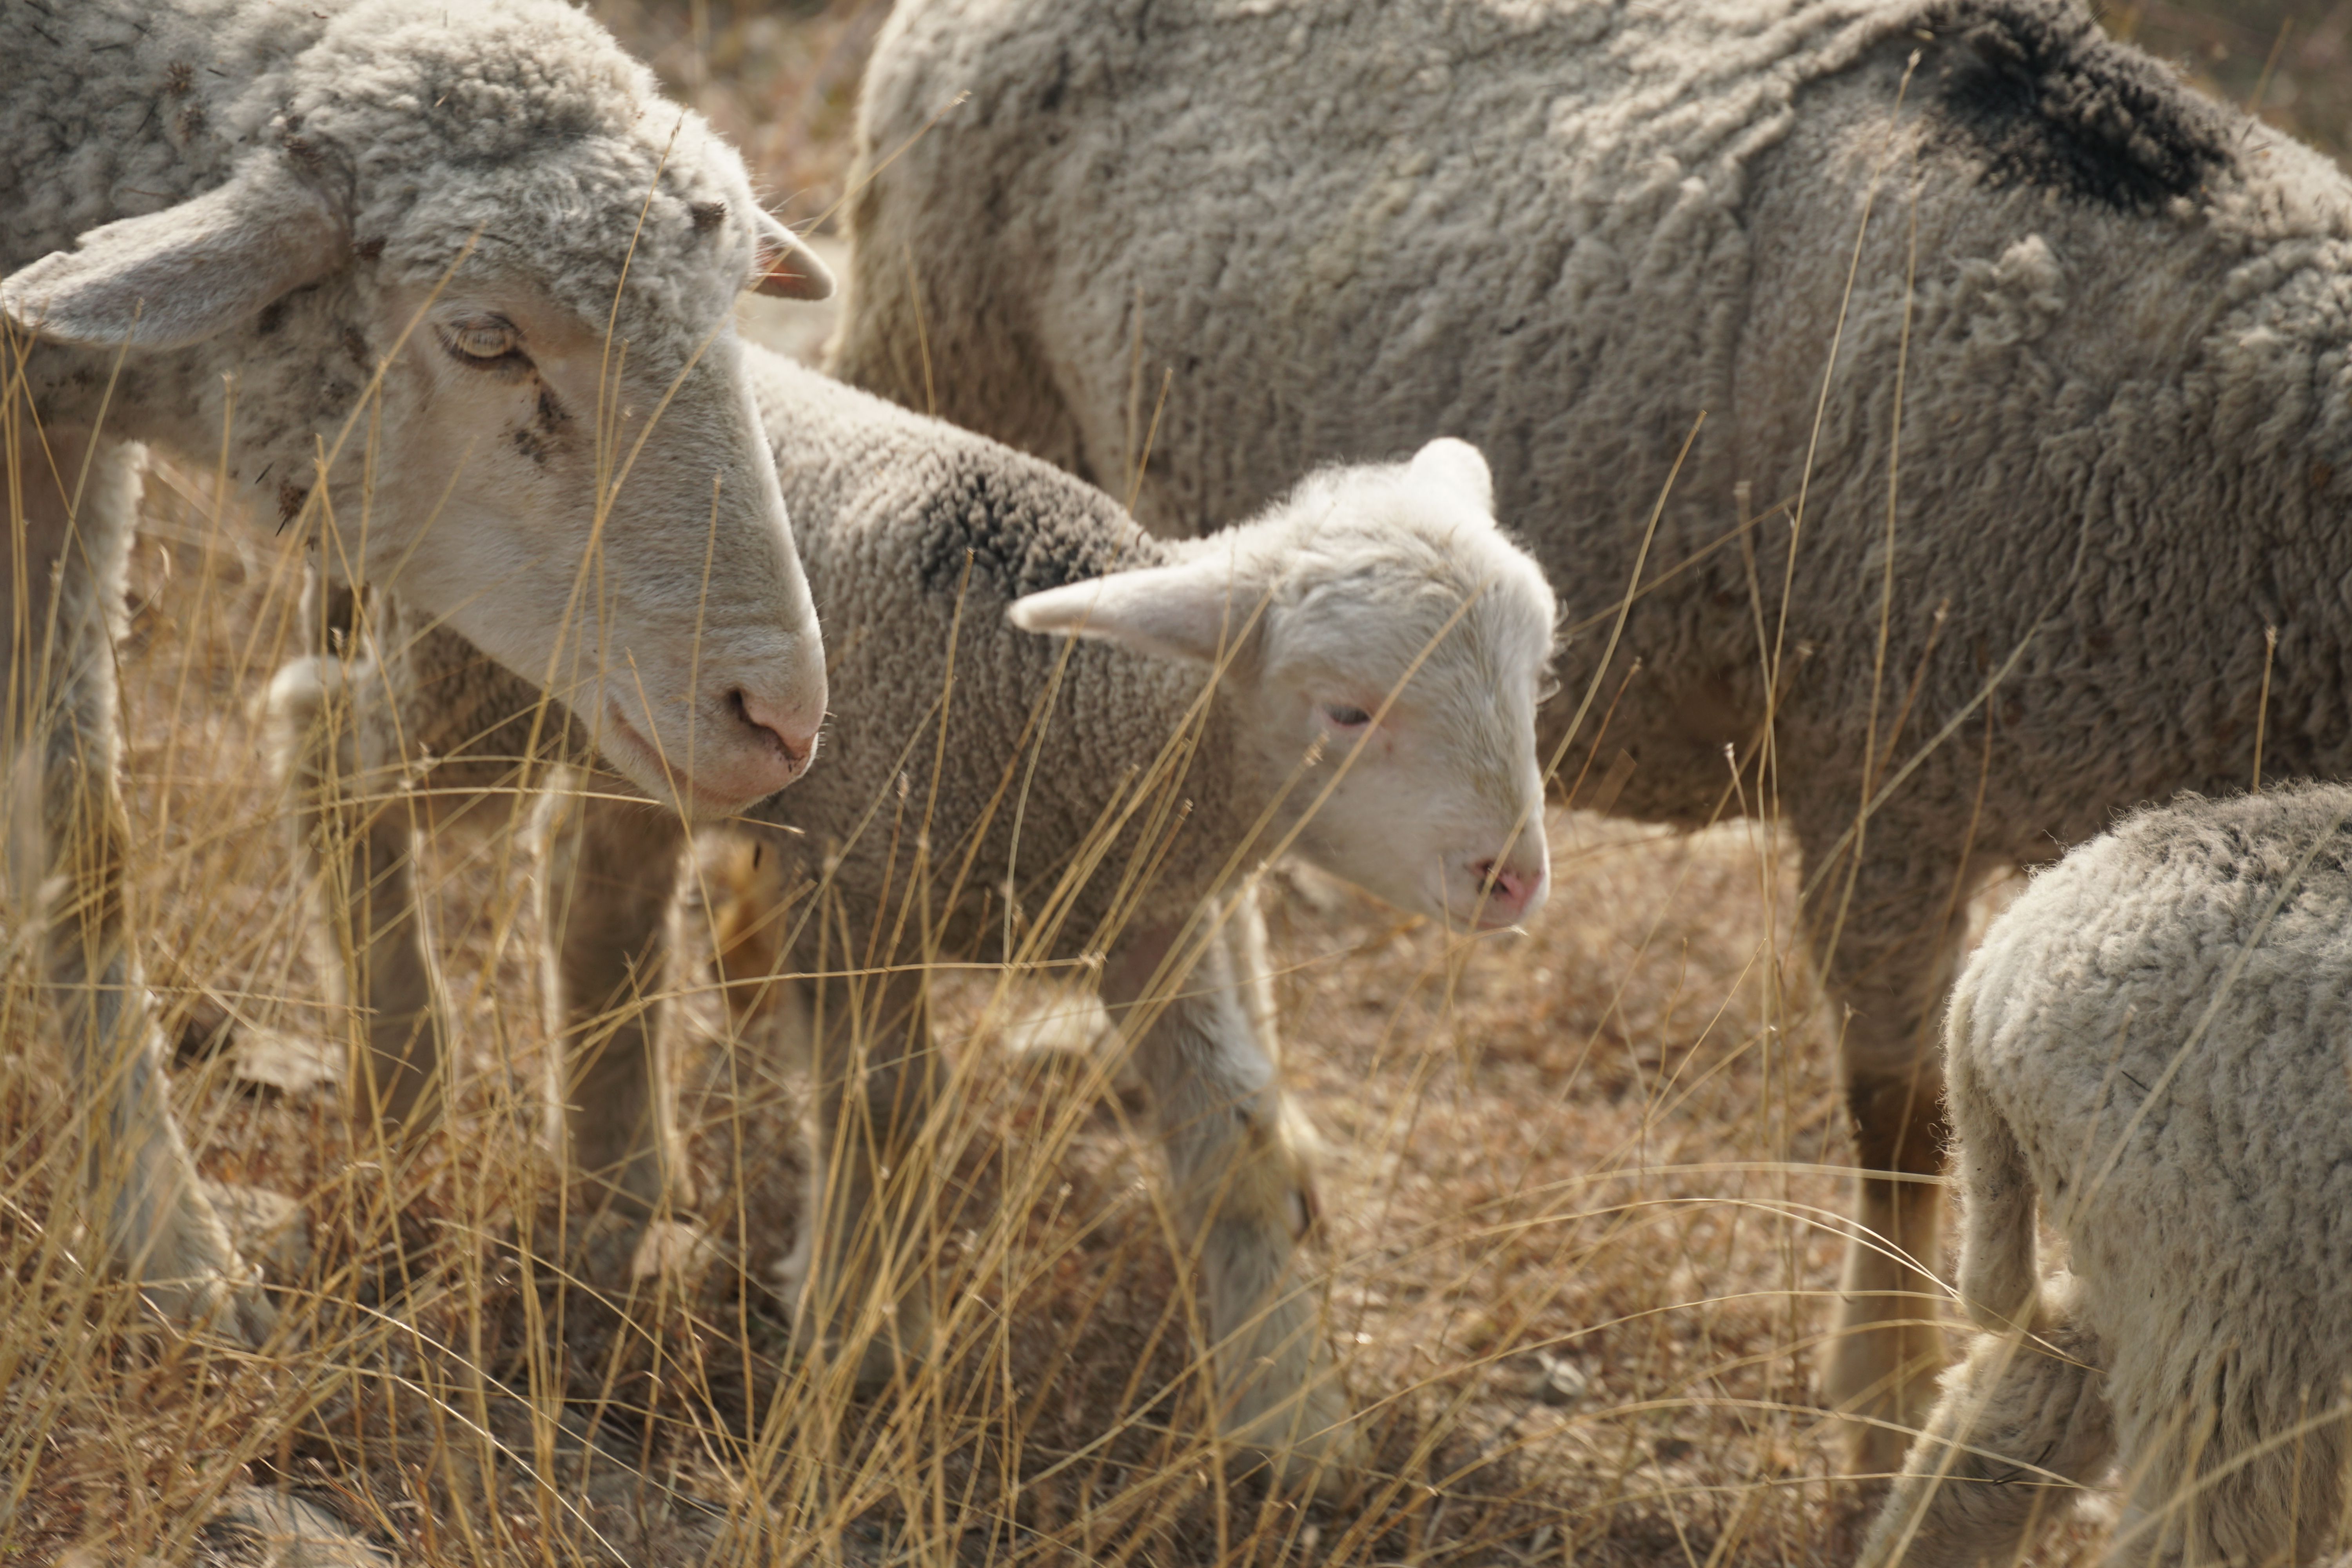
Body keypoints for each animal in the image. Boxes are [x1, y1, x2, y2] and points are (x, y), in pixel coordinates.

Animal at [1, 0, 836, 1339]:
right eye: (484, 338)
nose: (778, 715)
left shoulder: (59, 433)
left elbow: (84, 841)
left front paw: (165, 1253)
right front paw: (179, 1251)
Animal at [278, 342, 1558, 1489]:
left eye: (1533, 681)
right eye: (1347, 710)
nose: (1514, 878)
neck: (1071, 708)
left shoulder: (1154, 912)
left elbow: (1235, 1140)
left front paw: (1290, 1420)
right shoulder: (859, 882)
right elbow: (884, 1102)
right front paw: (862, 1331)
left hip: (645, 741)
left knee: (593, 891)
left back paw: (617, 1170)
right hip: (475, 682)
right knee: (327, 743)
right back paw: (404, 1064)